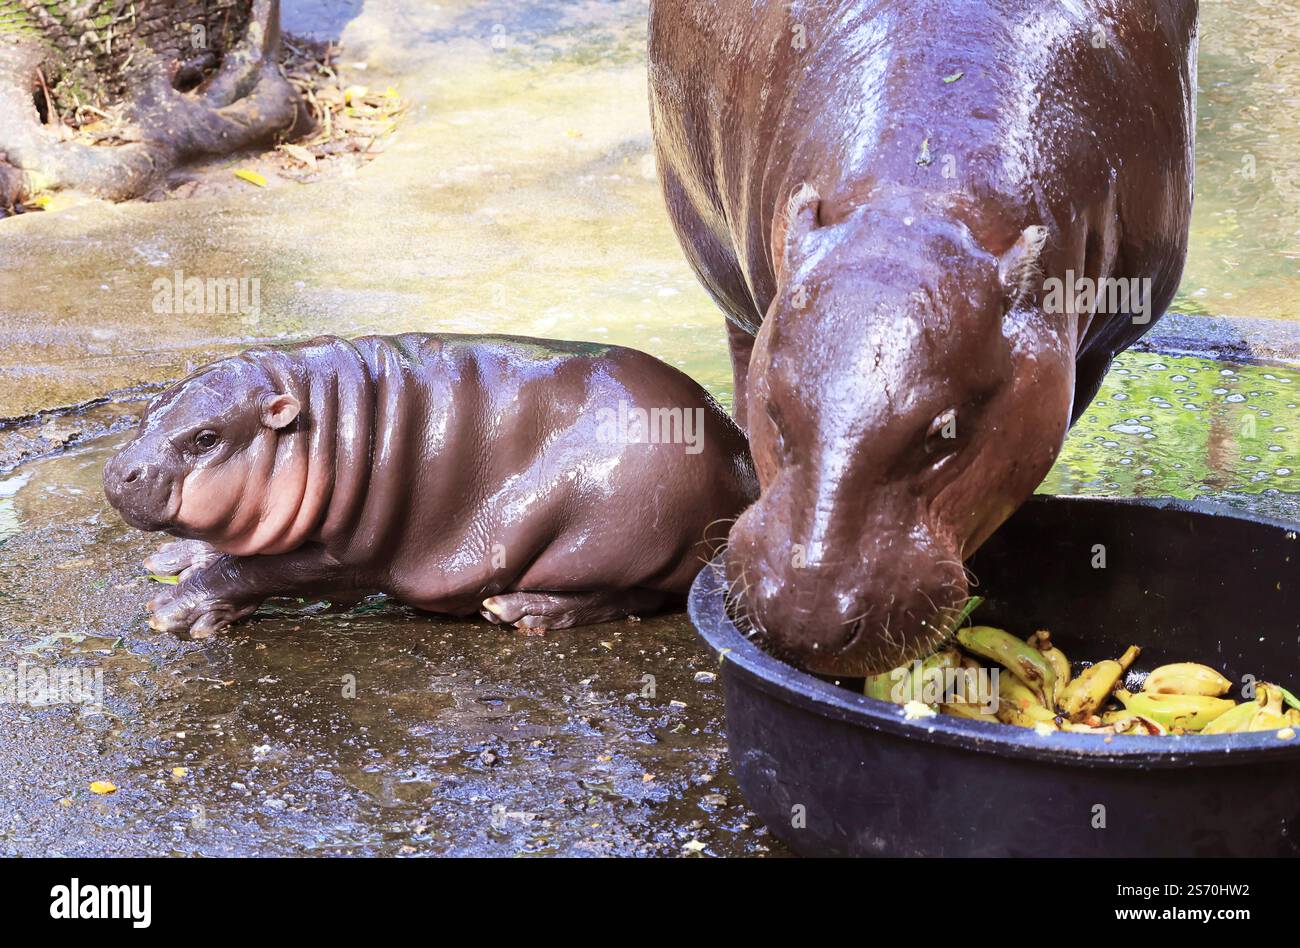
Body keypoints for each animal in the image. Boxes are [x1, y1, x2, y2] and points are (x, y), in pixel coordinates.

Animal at [103, 334, 757, 638]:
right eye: (151, 407)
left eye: (206, 438)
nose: (115, 472)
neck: (318, 420)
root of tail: (739, 450)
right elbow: (237, 554)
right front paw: (172, 562)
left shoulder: (342, 558)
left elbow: (252, 570)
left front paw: (168, 611)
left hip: (616, 532)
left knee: (632, 597)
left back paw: (517, 611)